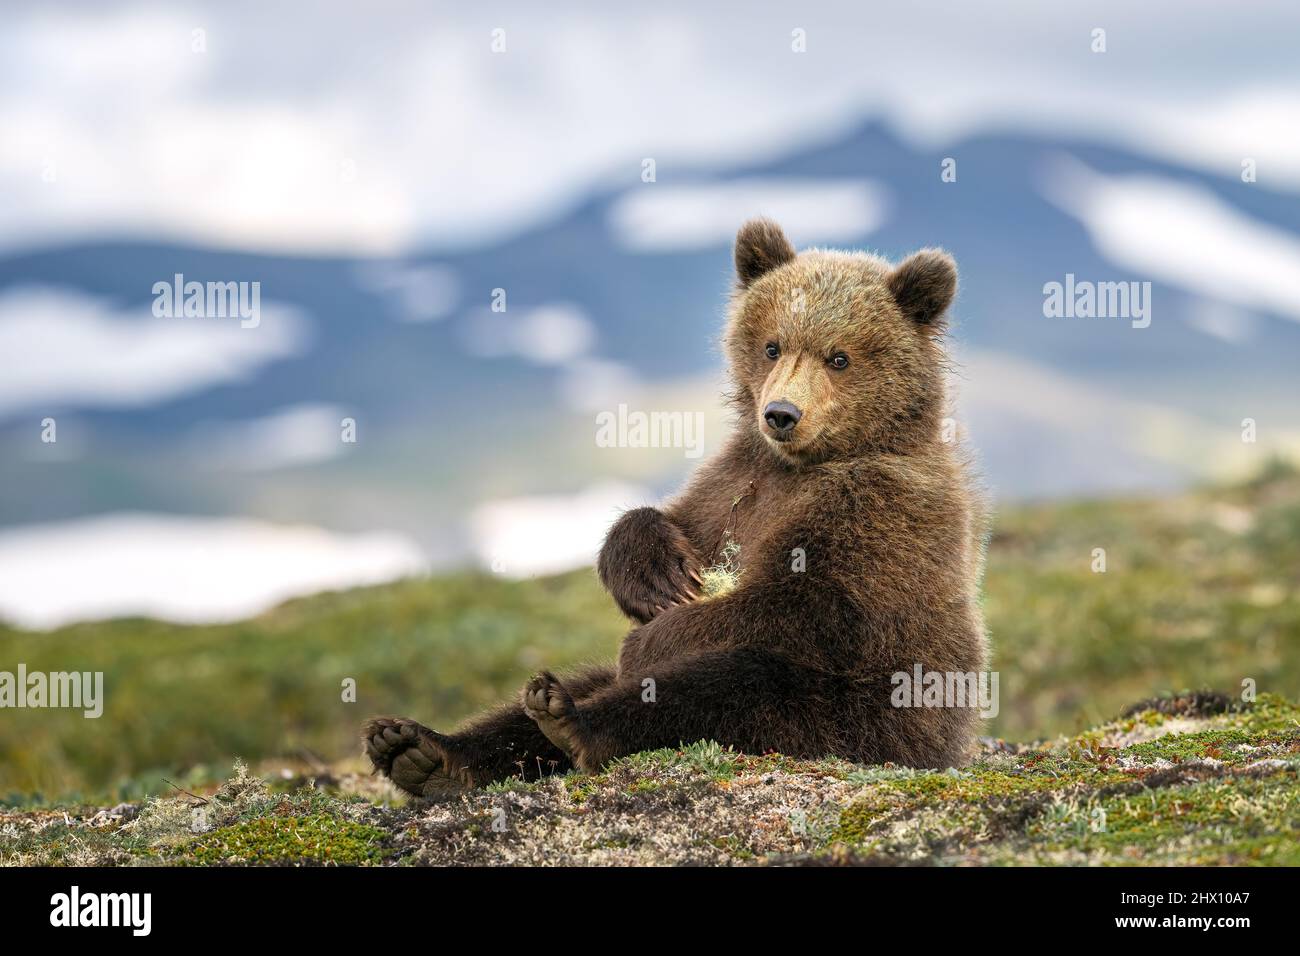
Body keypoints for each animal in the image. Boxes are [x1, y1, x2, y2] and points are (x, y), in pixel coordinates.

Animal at [364, 217, 988, 798]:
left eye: (839, 357)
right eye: (772, 345)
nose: (781, 414)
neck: (807, 462)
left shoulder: (881, 507)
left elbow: (817, 603)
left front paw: (650, 638)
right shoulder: (734, 481)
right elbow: (675, 521)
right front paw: (655, 573)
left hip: (859, 718)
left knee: (734, 686)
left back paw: (574, 723)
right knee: (561, 691)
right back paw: (422, 751)